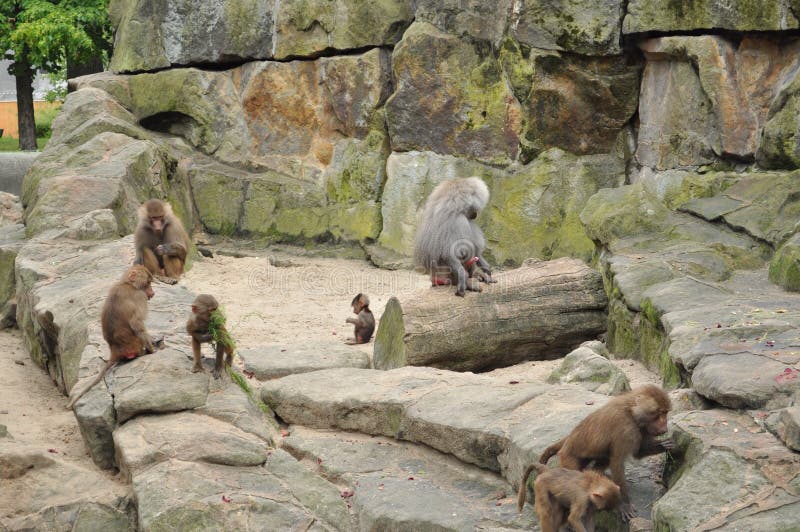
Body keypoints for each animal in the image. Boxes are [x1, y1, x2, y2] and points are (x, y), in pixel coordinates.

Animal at [67, 266, 162, 409]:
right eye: (148, 284)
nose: (152, 292)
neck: (128, 284)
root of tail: (115, 349)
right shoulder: (140, 296)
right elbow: (137, 324)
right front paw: (152, 349)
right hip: (135, 345)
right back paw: (144, 352)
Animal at [538, 384, 674, 519]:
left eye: (666, 413)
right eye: (660, 413)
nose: (665, 428)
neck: (631, 411)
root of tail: (567, 442)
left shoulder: (642, 428)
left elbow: (638, 452)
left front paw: (665, 445)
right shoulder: (625, 429)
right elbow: (617, 462)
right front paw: (623, 504)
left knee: (604, 458)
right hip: (568, 458)